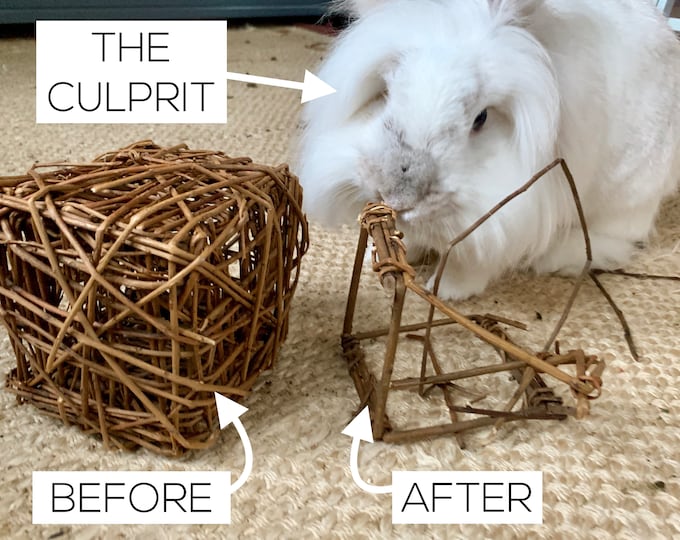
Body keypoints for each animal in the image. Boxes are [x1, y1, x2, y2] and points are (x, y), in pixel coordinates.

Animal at [297, 0, 680, 300]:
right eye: (386, 92)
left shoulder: (508, 215)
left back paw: (555, 258)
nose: (398, 198)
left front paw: (447, 290)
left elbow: (475, 259)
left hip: (629, 194)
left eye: (480, 118)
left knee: (617, 239)